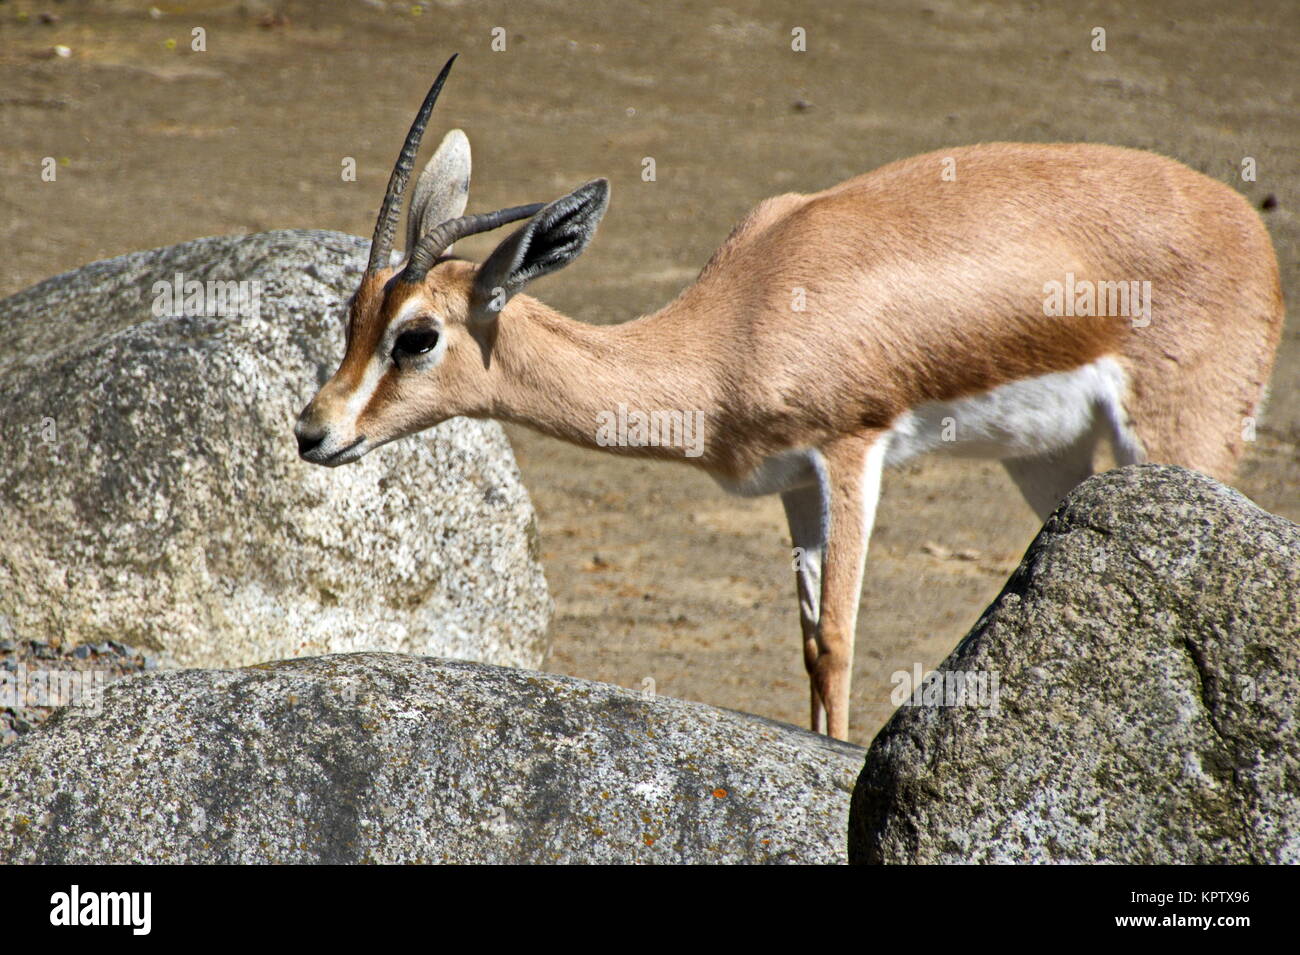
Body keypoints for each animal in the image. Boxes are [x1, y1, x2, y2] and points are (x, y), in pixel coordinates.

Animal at [295, 55, 1284, 741]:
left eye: (417, 335)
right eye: (351, 314)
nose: (313, 430)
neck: (737, 324)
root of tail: (1249, 227)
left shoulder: (851, 452)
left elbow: (841, 637)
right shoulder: (795, 484)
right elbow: (808, 644)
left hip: (1180, 441)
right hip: (1054, 462)